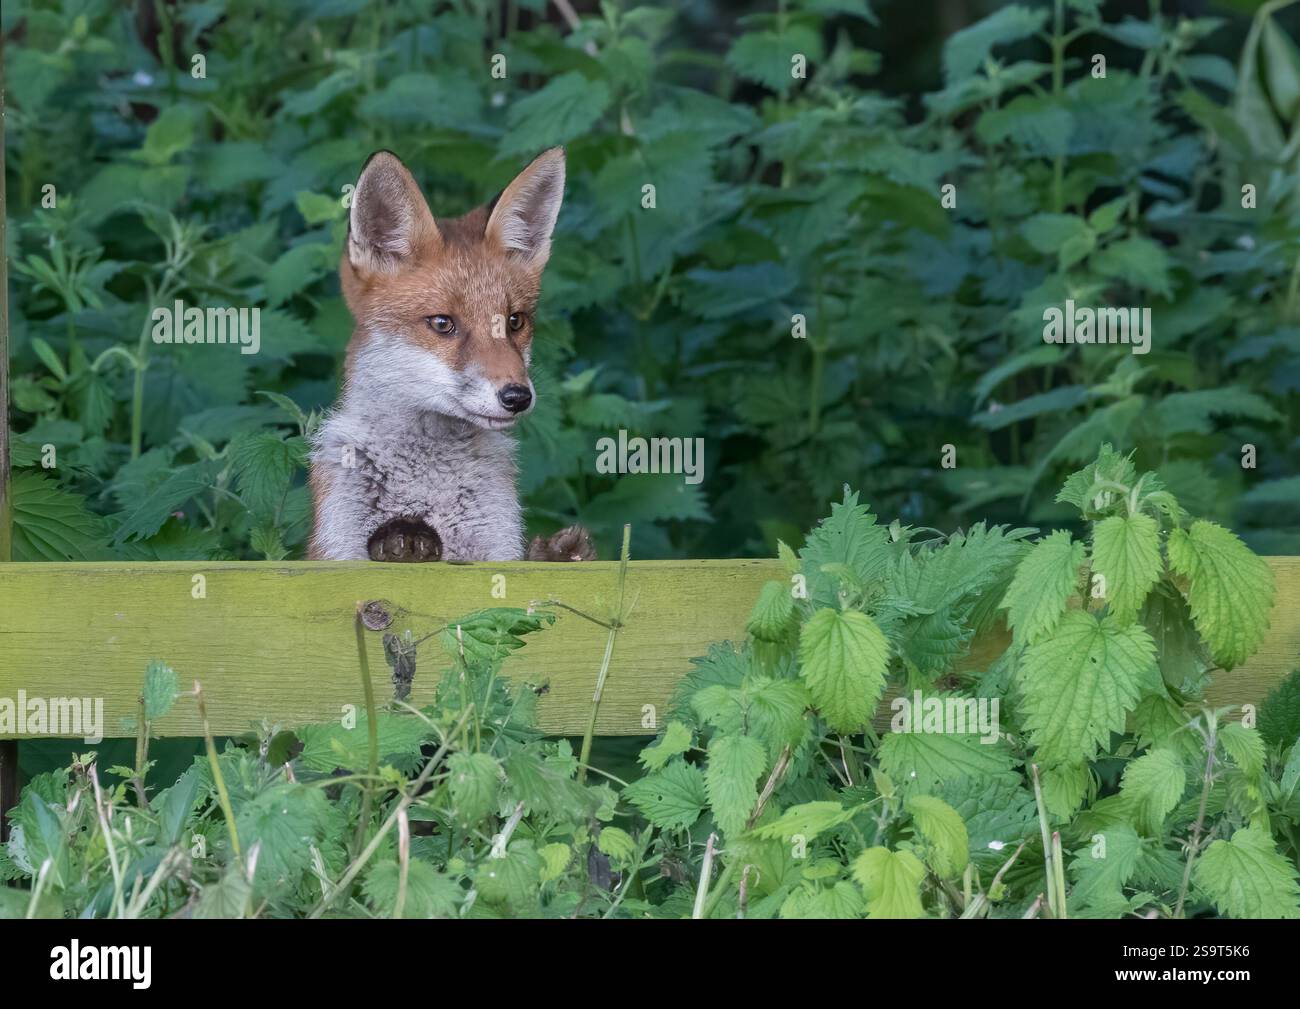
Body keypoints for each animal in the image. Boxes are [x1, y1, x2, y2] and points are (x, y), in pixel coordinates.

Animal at [308, 147, 594, 563]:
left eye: (514, 321)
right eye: (443, 323)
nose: (517, 397)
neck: (425, 483)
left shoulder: (498, 549)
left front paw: (559, 555)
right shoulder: (336, 548)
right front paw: (405, 542)